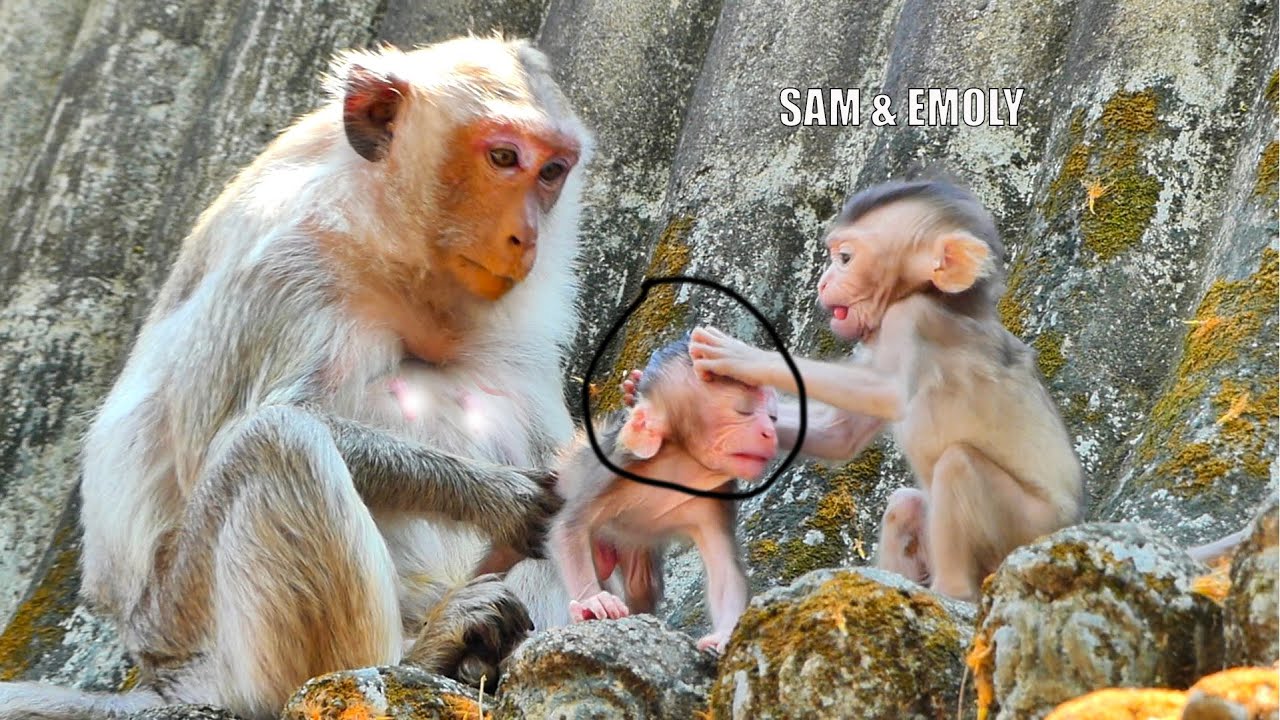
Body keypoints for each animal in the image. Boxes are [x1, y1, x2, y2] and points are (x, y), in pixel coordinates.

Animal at [0, 36, 591, 720]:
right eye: (503, 158)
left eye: (552, 171)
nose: (526, 237)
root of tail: (155, 674)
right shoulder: (290, 272)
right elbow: (243, 434)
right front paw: (495, 496)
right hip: (197, 641)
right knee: (276, 442)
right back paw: (409, 659)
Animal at [549, 335, 780, 653]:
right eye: (743, 411)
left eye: (772, 415)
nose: (771, 432)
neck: (679, 468)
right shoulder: (615, 471)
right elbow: (569, 527)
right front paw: (592, 601)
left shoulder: (715, 497)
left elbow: (723, 567)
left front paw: (725, 634)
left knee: (640, 583)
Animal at [686, 179, 1086, 603]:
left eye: (845, 258)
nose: (823, 281)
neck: (929, 295)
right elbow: (841, 434)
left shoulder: (909, 319)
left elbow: (890, 393)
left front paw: (743, 357)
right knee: (906, 504)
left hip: (1029, 530)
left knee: (957, 464)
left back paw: (951, 592)